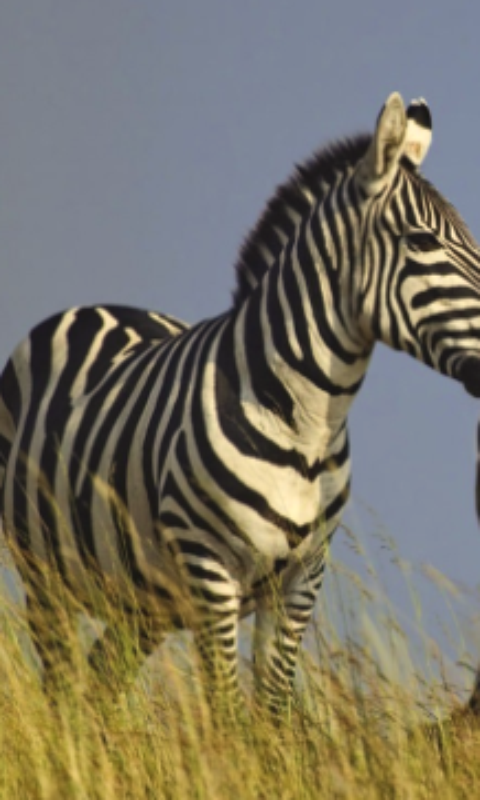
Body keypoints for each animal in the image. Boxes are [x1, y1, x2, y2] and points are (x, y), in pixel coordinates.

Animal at [1, 92, 480, 716]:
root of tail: (95, 306)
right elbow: (227, 714)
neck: (308, 422)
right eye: (423, 243)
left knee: (102, 682)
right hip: (44, 574)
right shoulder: (211, 570)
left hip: (143, 597)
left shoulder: (300, 579)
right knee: (59, 690)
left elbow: (271, 711)